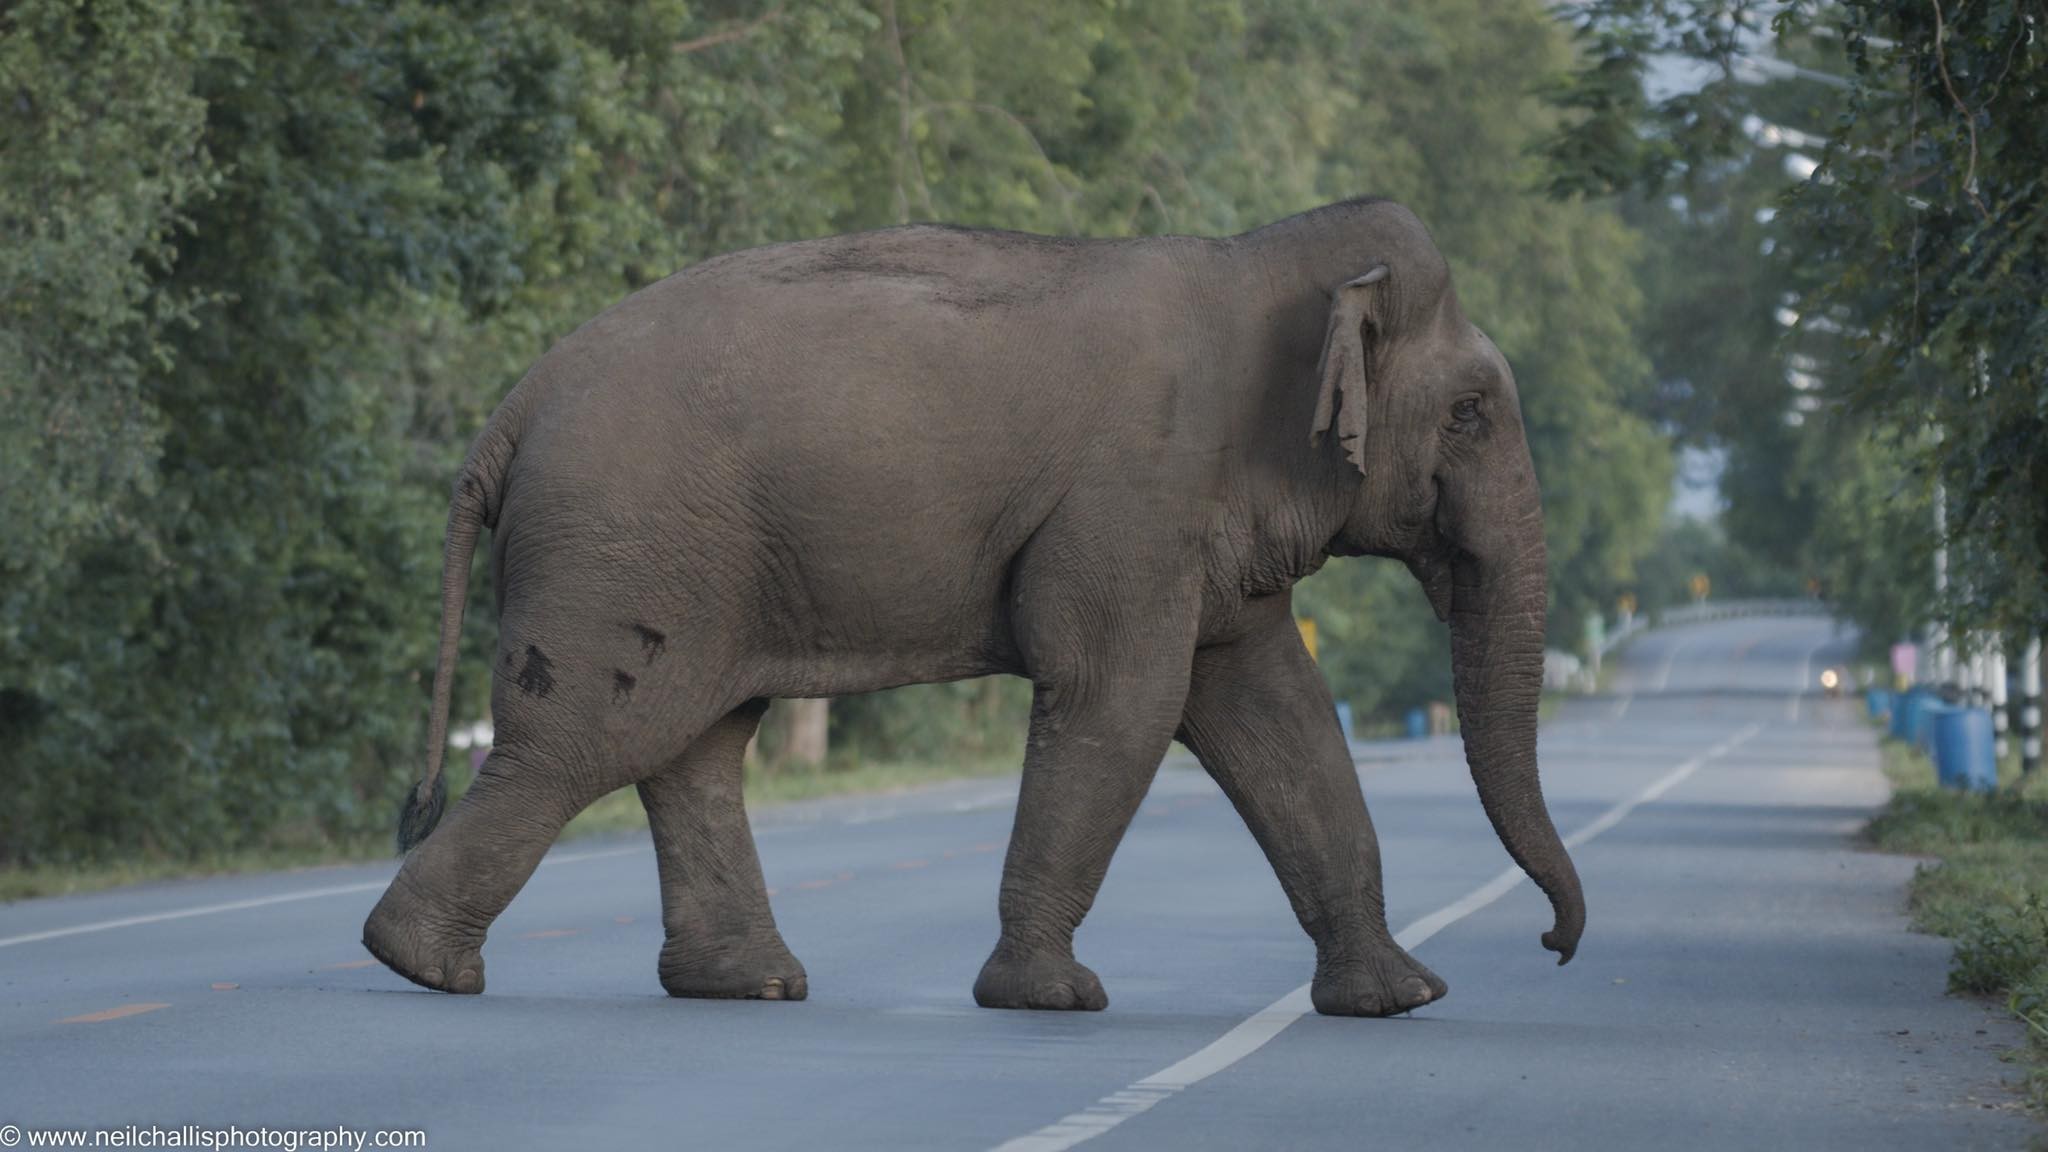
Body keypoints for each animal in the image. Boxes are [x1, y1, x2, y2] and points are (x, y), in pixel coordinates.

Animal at [360, 196, 1585, 1017]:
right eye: (1471, 413)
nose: (1554, 944)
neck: (1255, 264)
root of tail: (514, 406)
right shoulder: (1133, 500)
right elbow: (1125, 699)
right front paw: (1052, 998)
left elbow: (1271, 709)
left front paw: (1399, 998)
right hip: (626, 543)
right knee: (587, 739)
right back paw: (420, 963)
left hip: (695, 561)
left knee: (691, 745)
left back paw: (748, 986)